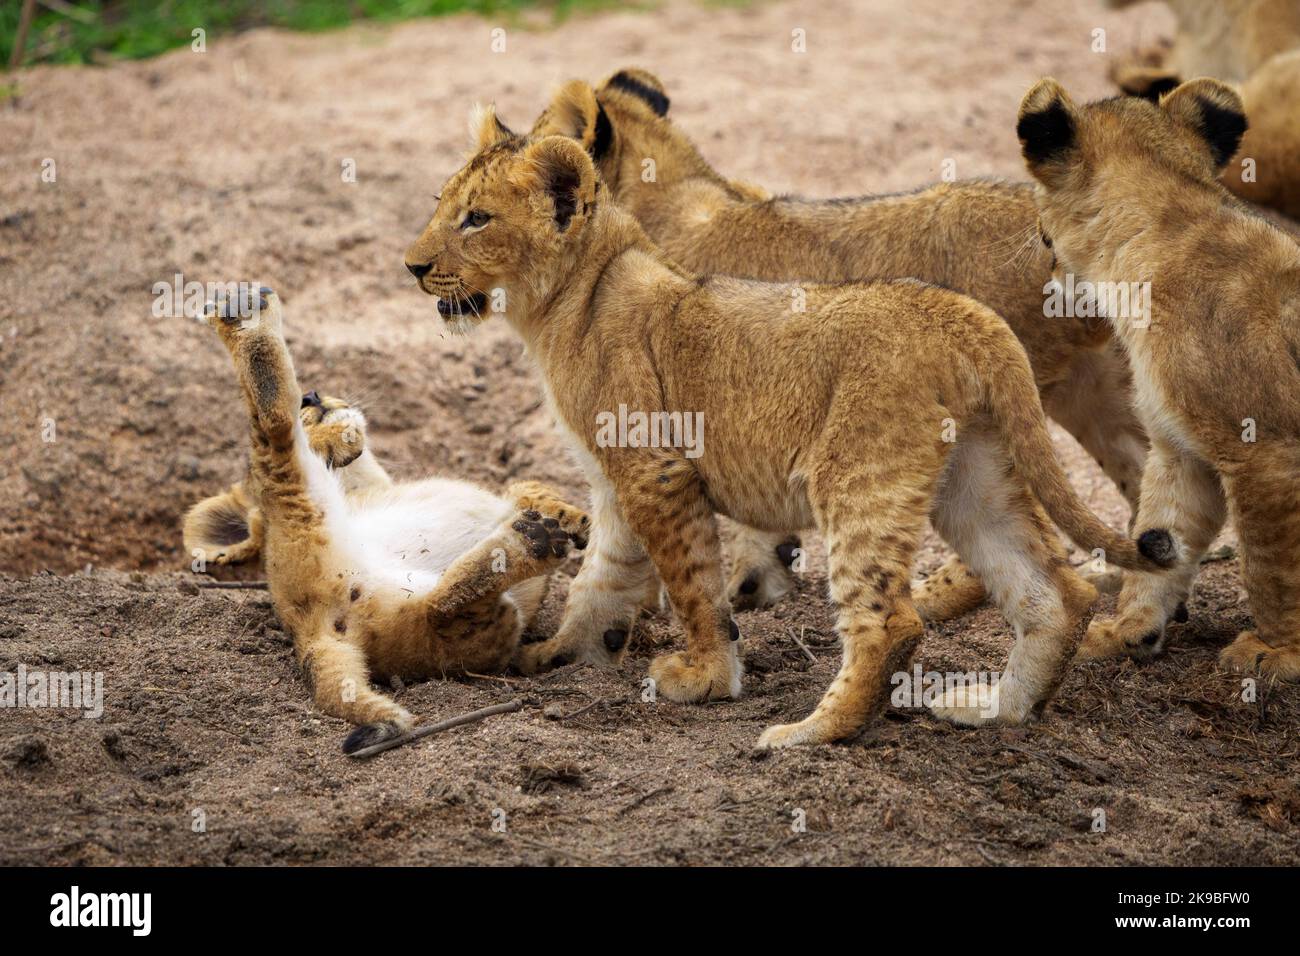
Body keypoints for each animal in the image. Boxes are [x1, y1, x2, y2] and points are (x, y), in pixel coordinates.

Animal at [186, 286, 589, 753]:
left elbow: (525, 486)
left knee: (445, 610)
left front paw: (567, 513)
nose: (312, 396)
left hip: (464, 633)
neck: (362, 482)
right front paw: (340, 437)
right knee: (275, 427)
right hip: (305, 504)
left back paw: (532, 541)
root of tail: (311, 631)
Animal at [1017, 76, 1300, 680]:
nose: (1048, 282)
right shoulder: (1178, 447)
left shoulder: (1268, 450)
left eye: (1046, 239)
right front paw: (1126, 630)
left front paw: (1277, 652)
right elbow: (1164, 530)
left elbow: (1272, 568)